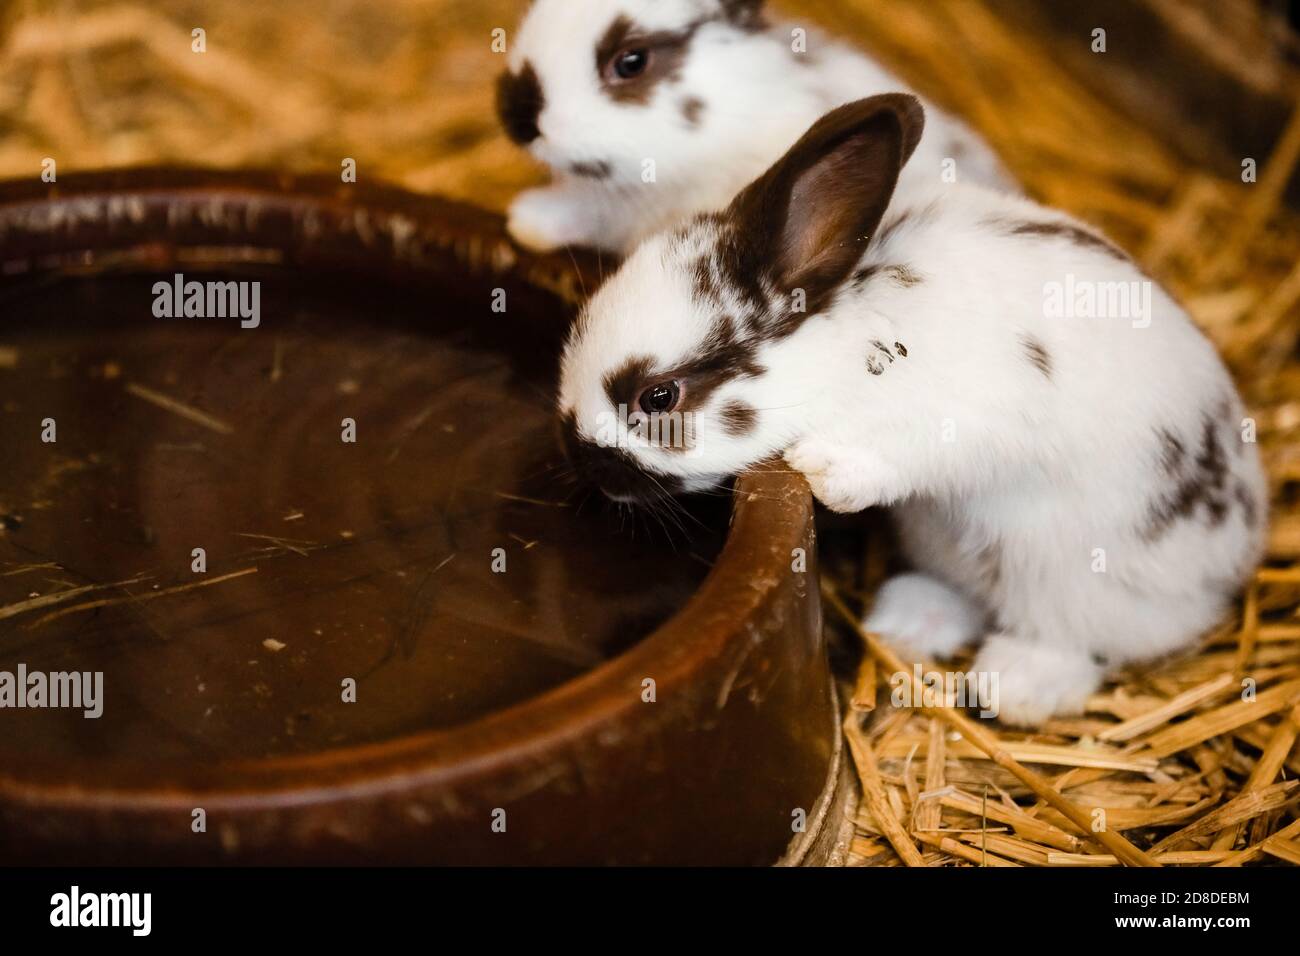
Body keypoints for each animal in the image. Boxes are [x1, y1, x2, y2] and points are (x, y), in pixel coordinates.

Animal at [555, 93, 1267, 726]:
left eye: (658, 396)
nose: (580, 457)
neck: (845, 340)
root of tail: (1239, 552)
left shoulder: (977, 413)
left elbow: (918, 451)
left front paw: (826, 472)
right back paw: (906, 618)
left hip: (1077, 582)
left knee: (1078, 642)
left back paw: (1012, 684)